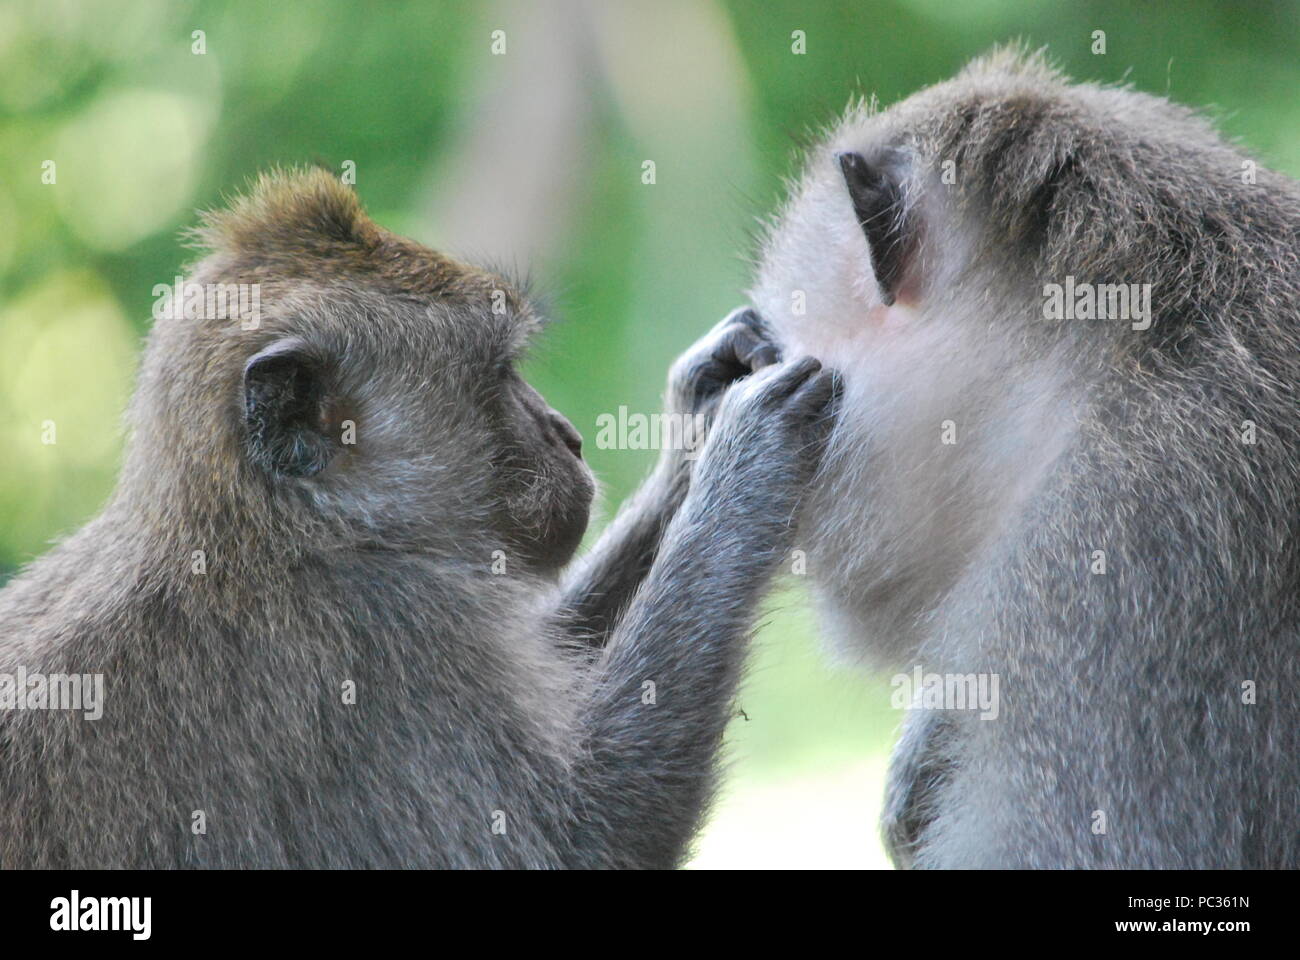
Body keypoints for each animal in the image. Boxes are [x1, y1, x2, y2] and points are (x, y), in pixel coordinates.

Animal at [0, 168, 839, 869]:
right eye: (499, 375)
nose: (565, 435)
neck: (276, 532)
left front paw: (703, 415)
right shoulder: (378, 640)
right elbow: (582, 841)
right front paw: (743, 457)